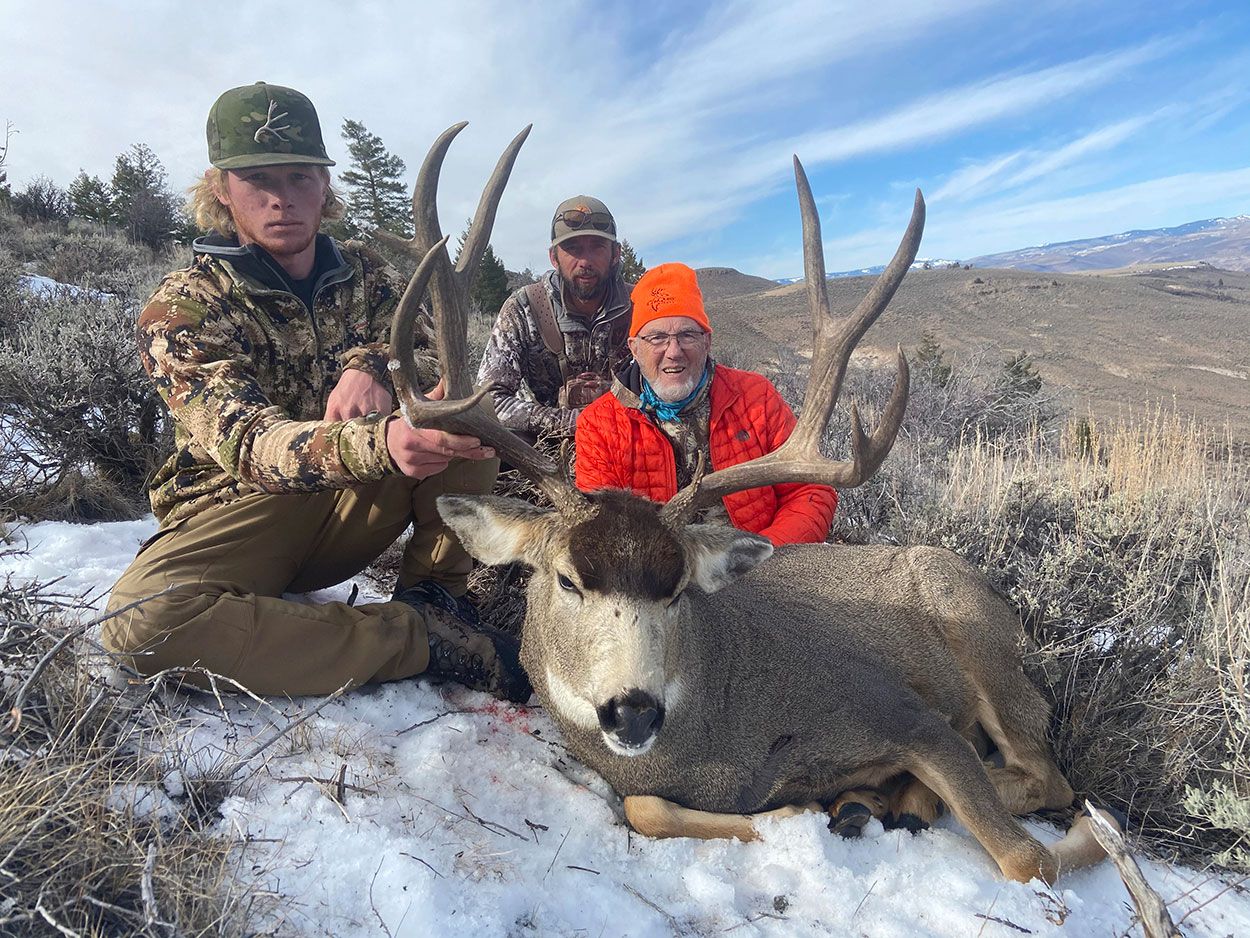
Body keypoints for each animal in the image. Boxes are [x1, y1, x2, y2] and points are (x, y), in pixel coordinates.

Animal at [376, 122, 1121, 885]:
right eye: (566, 580)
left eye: (677, 588)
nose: (633, 713)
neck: (722, 739)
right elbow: (650, 809)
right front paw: (805, 807)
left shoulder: (904, 711)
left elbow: (1028, 857)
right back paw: (873, 800)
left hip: (980, 640)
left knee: (1047, 776)